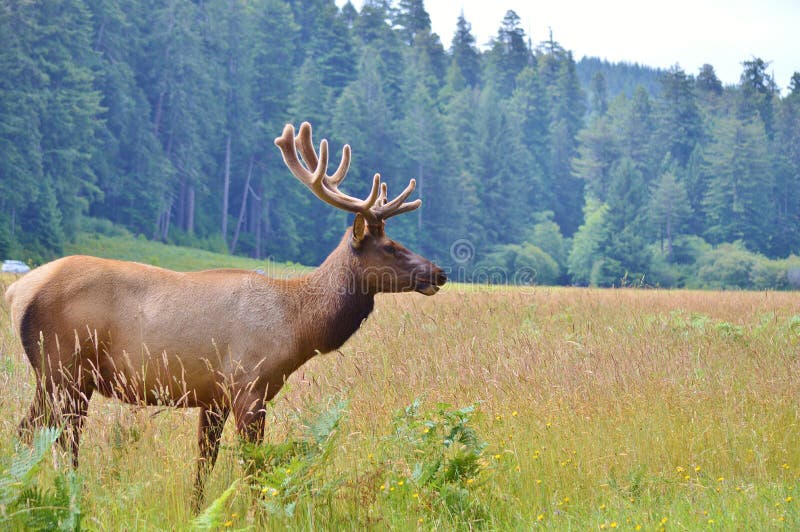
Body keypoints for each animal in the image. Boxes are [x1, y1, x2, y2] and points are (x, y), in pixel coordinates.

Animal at [3, 122, 447, 508]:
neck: (297, 325)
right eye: (390, 247)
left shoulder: (213, 396)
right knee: (60, 442)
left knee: (27, 432)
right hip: (65, 371)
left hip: (55, 378)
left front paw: (197, 509)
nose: (438, 272)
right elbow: (252, 467)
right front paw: (258, 513)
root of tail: (16, 292)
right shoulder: (248, 384)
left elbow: (204, 465)